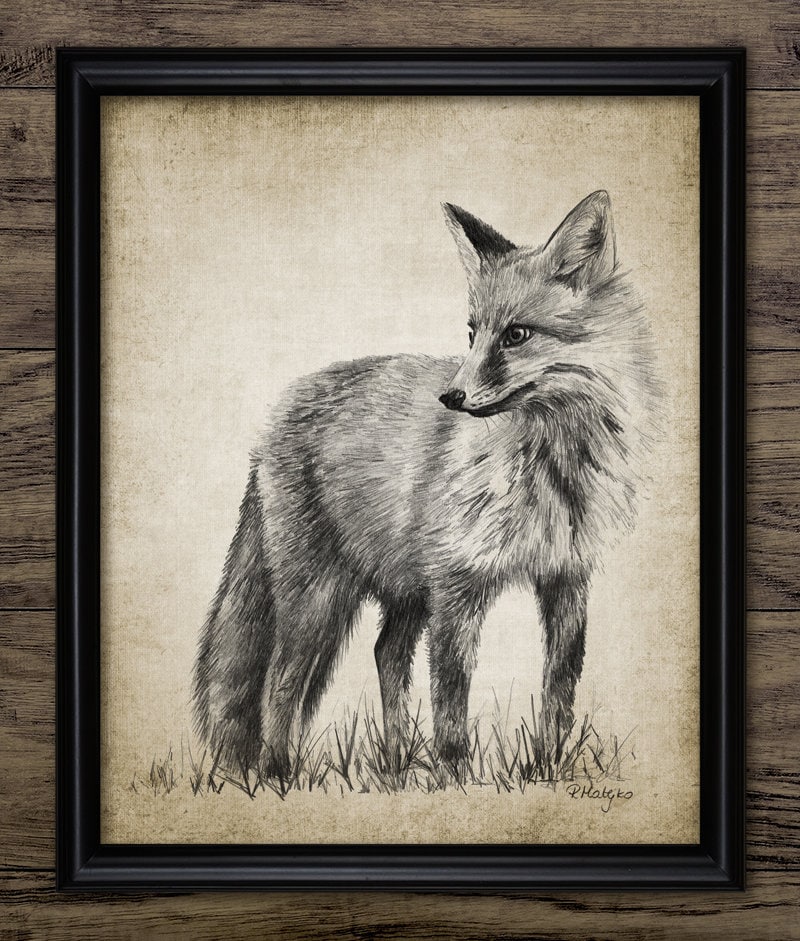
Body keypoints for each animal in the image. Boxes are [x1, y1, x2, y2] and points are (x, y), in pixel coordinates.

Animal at [192, 190, 659, 778]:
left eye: (516, 335)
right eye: (472, 333)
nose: (451, 398)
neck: (552, 469)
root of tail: (275, 414)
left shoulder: (566, 576)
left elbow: (559, 689)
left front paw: (547, 771)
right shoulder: (458, 585)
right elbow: (451, 698)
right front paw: (456, 779)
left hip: (405, 590)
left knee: (386, 654)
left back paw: (394, 766)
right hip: (320, 594)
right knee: (282, 679)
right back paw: (280, 775)